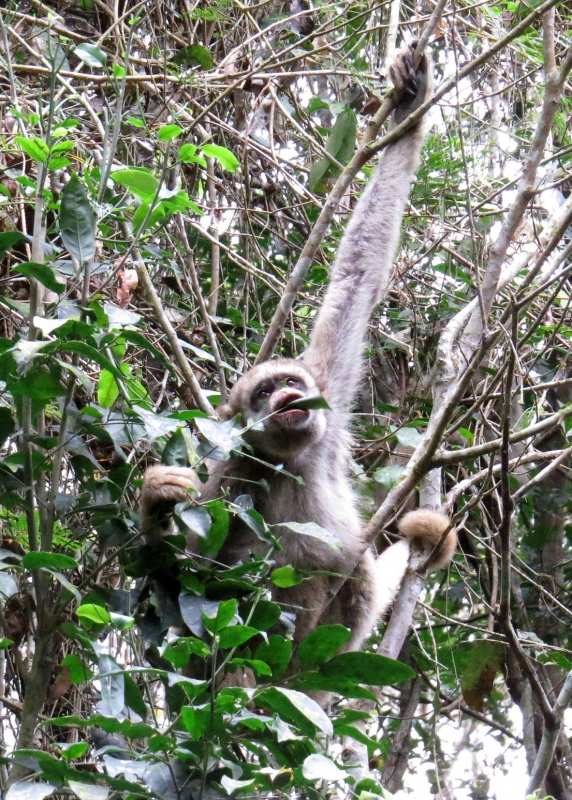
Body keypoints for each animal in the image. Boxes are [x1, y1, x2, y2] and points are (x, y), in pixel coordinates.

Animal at [140, 45, 457, 667]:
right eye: (264, 393)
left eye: (291, 382)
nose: (288, 394)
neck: (287, 461)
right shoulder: (231, 473)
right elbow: (187, 577)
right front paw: (156, 507)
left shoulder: (327, 388)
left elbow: (358, 274)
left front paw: (410, 103)